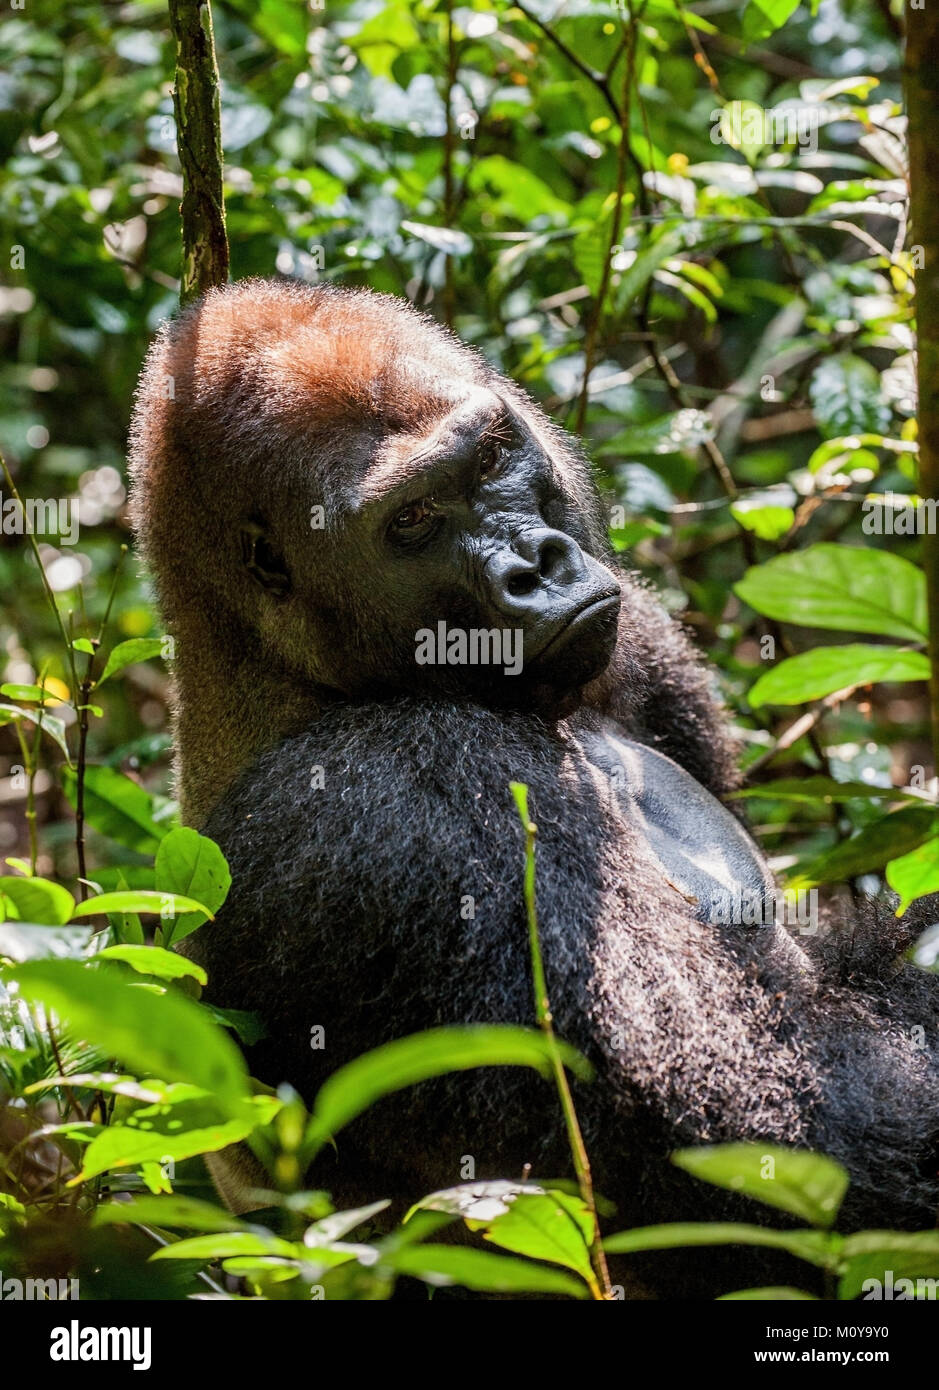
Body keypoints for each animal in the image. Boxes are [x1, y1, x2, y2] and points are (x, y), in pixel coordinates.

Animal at [129, 278, 939, 1298]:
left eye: (490, 457)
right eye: (409, 522)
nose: (535, 567)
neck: (270, 659)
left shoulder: (636, 647)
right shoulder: (393, 800)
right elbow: (769, 1135)